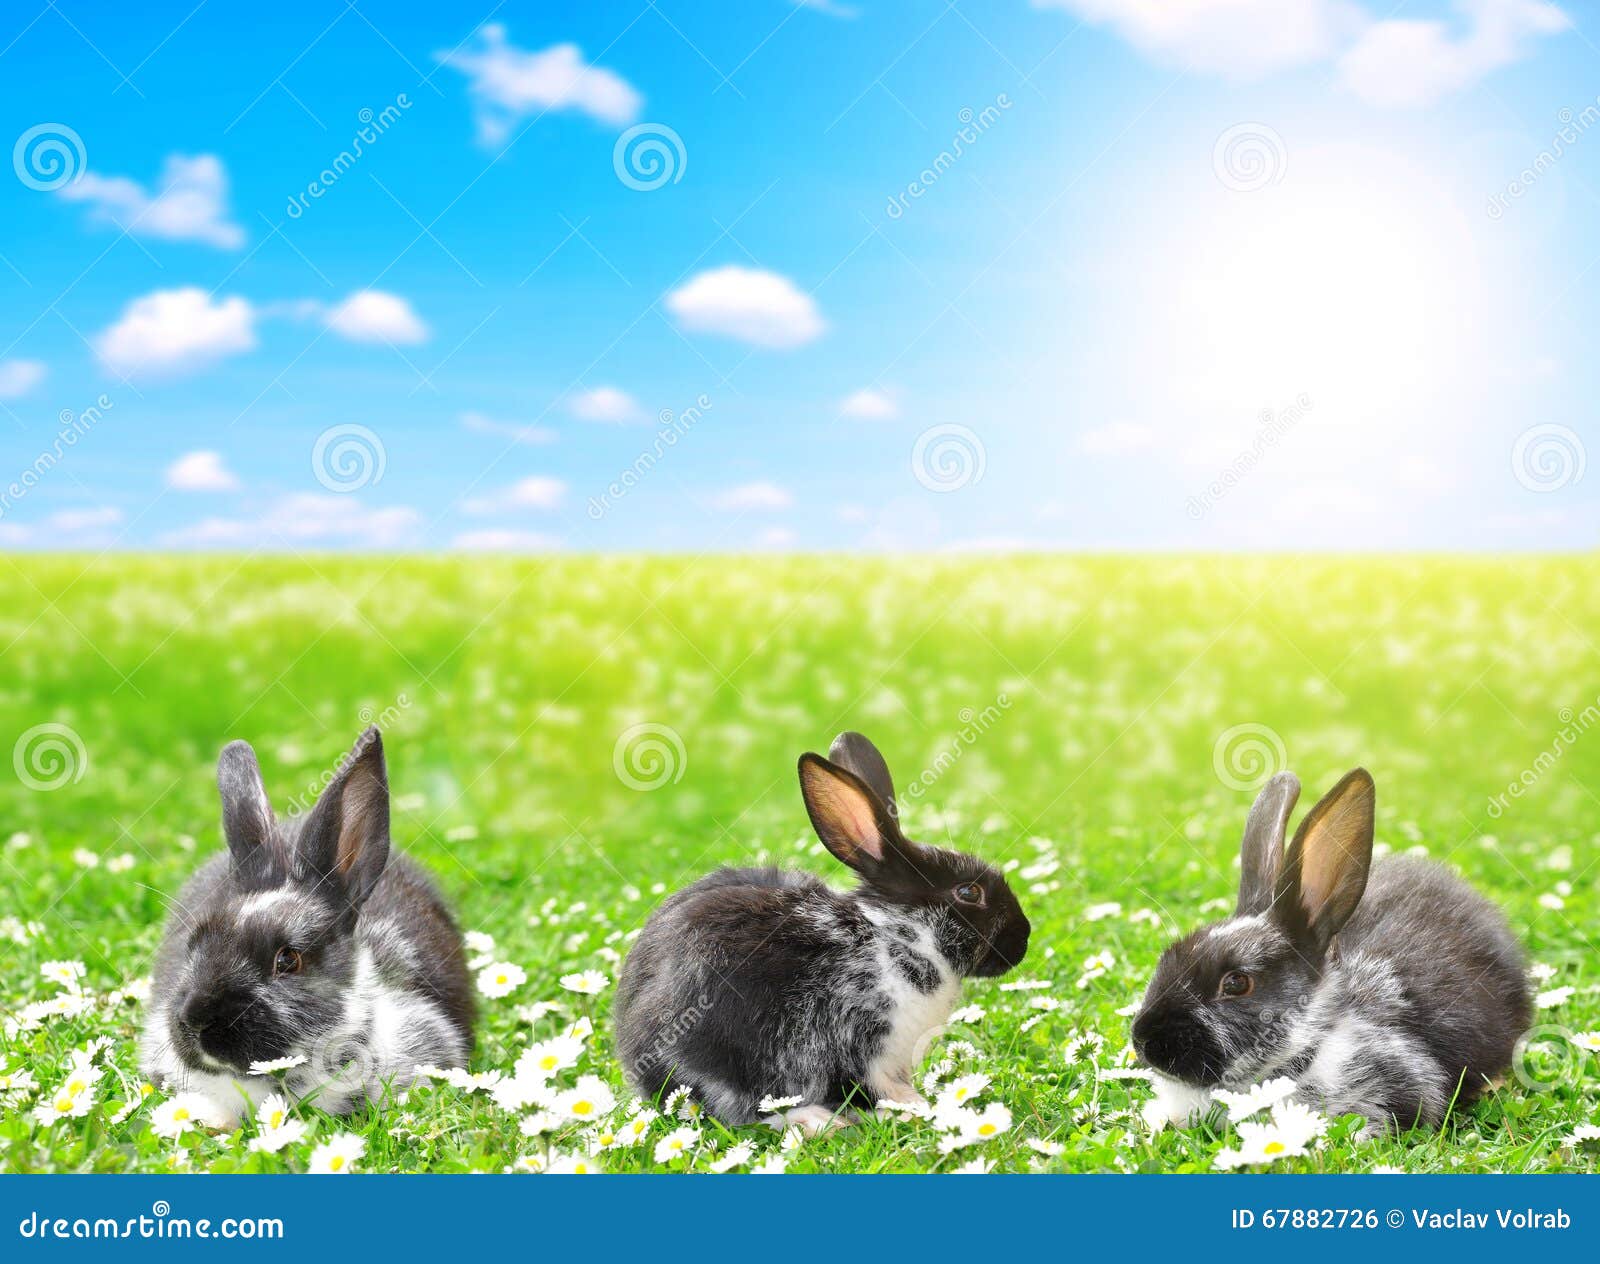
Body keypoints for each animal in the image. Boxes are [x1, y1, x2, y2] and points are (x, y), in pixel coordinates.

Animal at [614, 731, 1031, 1131]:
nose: (1023, 938)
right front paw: (912, 1110)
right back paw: (816, 1122)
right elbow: (873, 1087)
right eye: (969, 892)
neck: (897, 936)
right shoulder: (858, 1037)